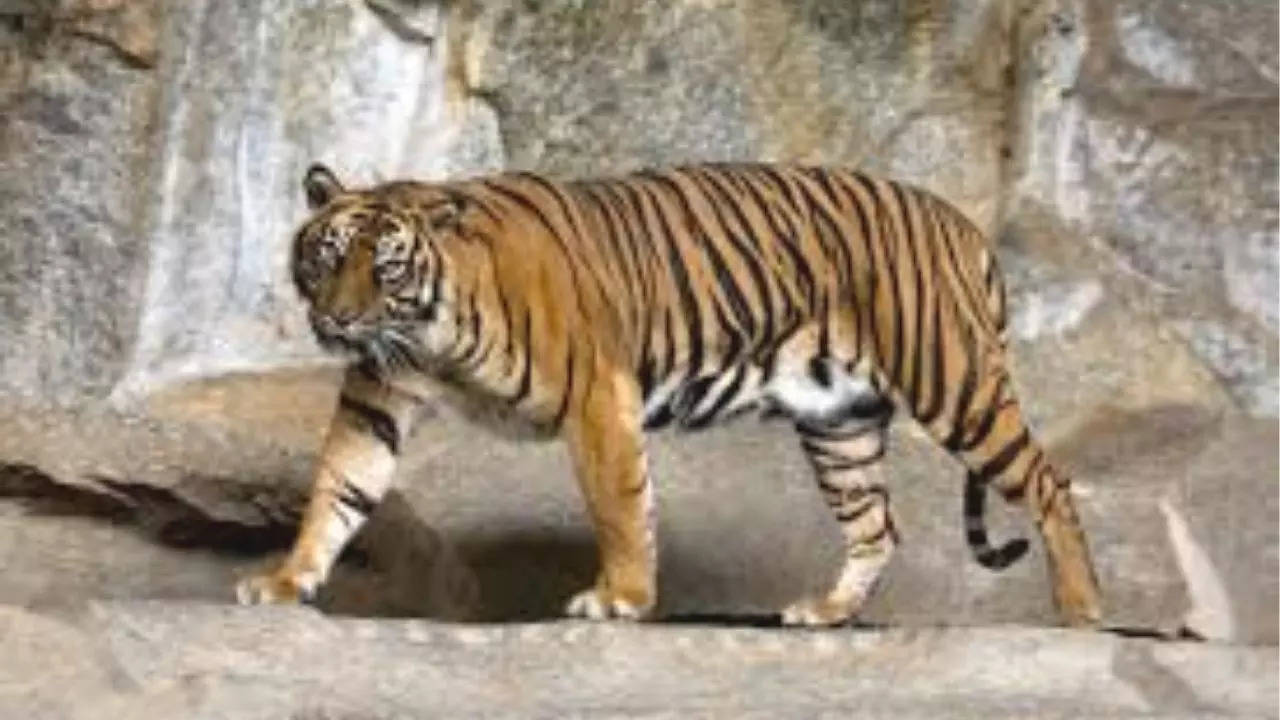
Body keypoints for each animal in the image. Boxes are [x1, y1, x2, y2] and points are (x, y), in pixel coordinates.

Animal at [235, 161, 1103, 628]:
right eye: (325, 256)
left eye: (384, 270)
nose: (337, 319)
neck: (429, 332)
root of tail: (962, 223)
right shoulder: (376, 398)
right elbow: (338, 490)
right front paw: (285, 581)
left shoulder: (596, 395)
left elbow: (619, 504)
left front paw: (619, 597)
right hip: (840, 422)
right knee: (877, 526)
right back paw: (826, 613)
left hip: (953, 382)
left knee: (1050, 482)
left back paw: (1081, 610)